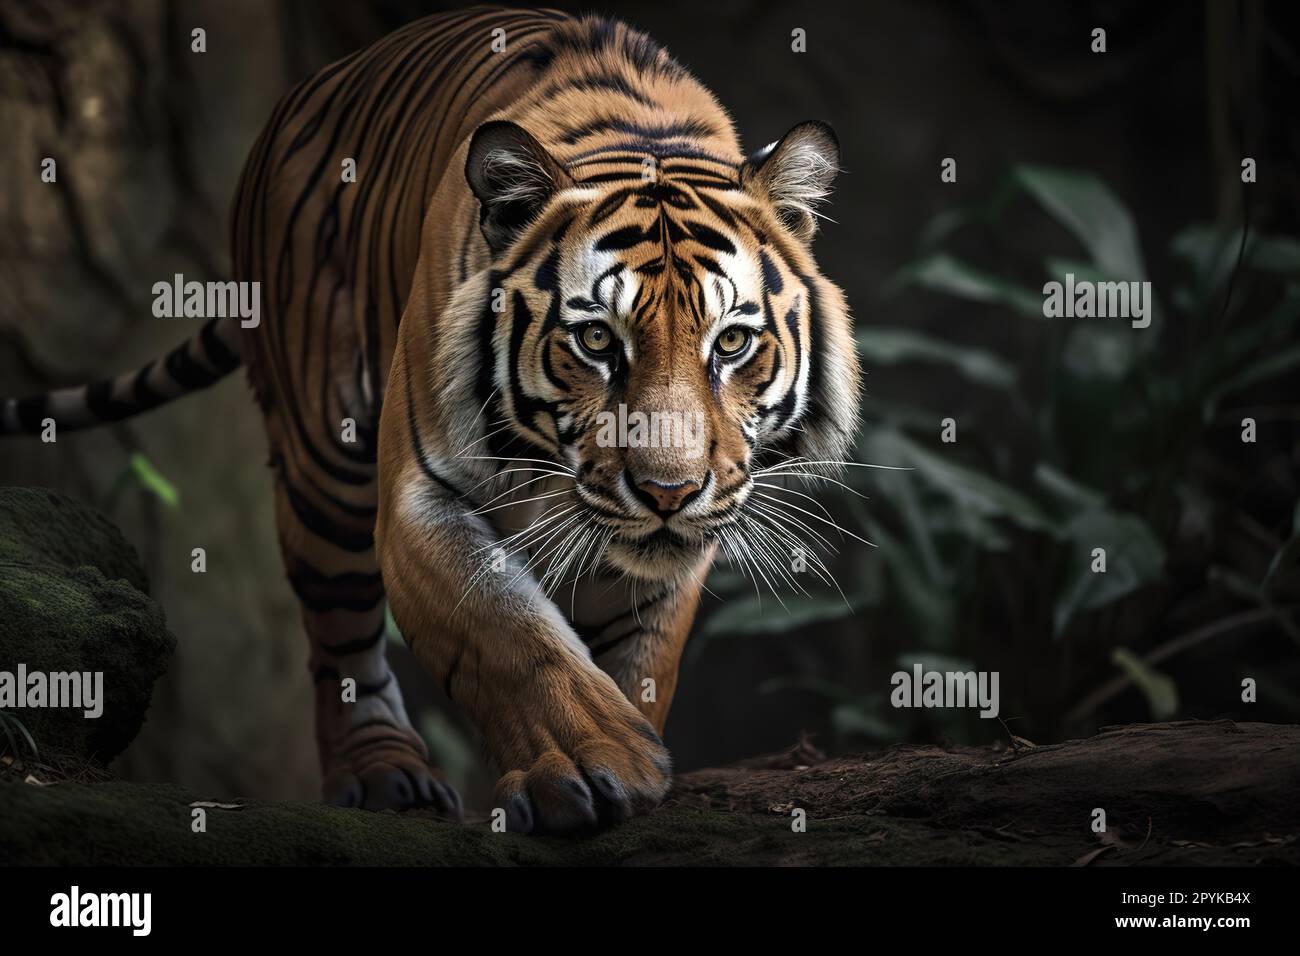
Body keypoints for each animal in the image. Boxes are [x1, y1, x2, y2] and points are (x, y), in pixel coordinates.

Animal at [1, 5, 860, 833]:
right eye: (595, 341)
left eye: (732, 342)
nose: (668, 494)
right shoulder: (422, 494)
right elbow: (510, 636)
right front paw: (593, 763)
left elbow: (642, 654)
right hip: (324, 459)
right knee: (339, 638)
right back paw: (386, 777)